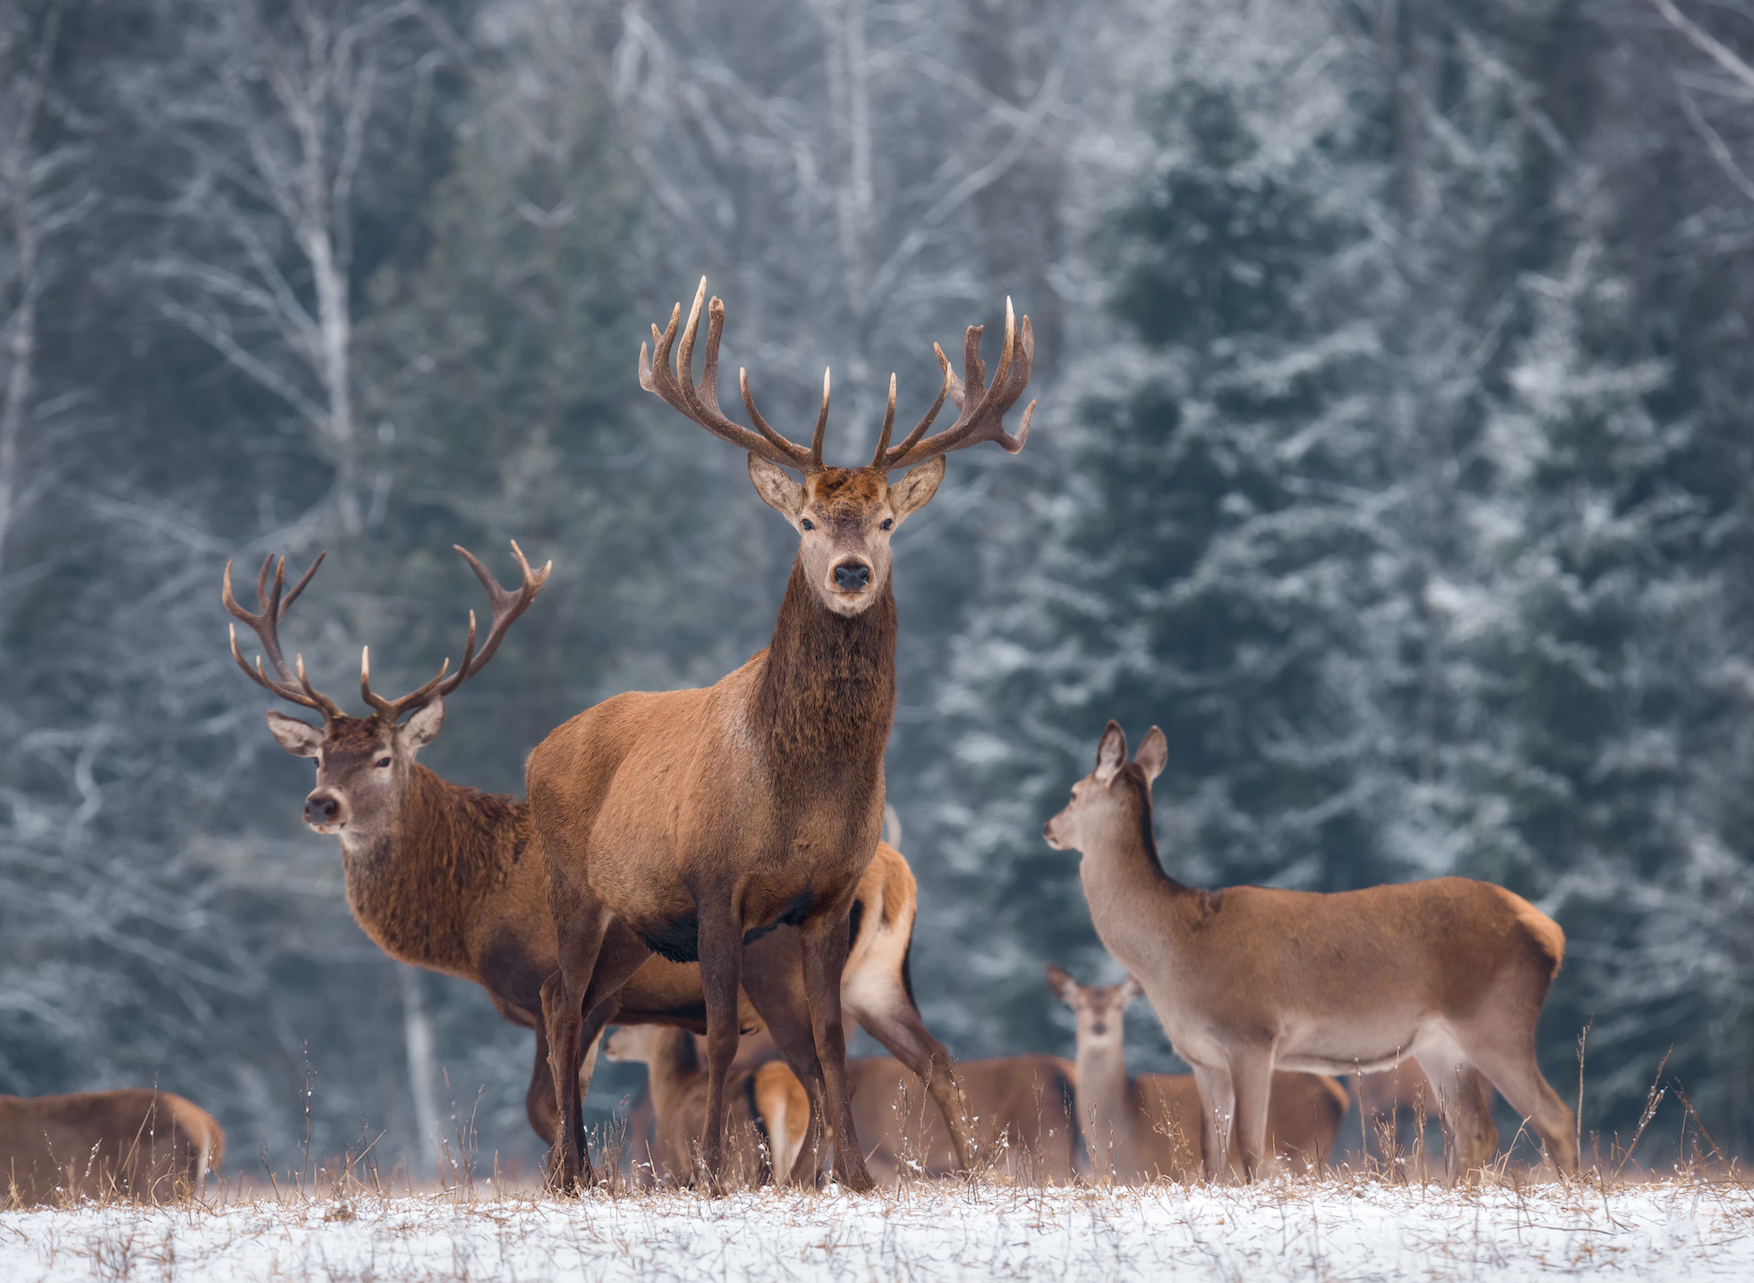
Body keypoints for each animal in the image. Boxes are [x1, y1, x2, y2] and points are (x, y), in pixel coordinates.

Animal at [604, 1025, 810, 1189]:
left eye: (632, 1023)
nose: (606, 1045)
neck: (670, 1090)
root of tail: (786, 1092)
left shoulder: (672, 1160)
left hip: (745, 1160)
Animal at [1045, 967, 1348, 1182]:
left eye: (1119, 1005)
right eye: (1078, 1005)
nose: (1098, 1027)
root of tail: (1339, 1096)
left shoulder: (1164, 1168)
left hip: (1302, 1151)